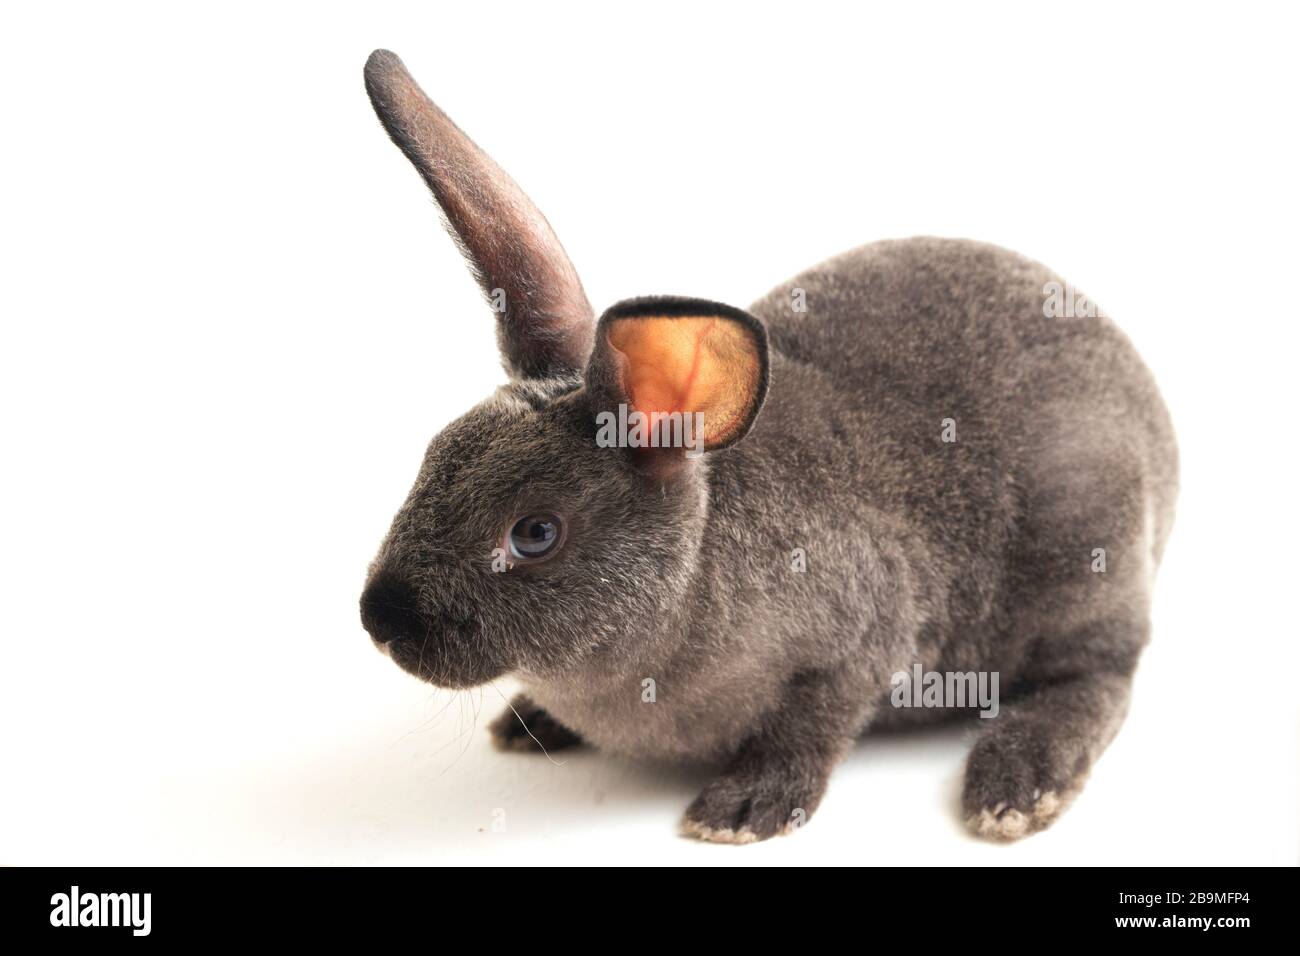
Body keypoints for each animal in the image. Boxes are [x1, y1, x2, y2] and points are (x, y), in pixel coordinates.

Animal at [358, 49, 1179, 844]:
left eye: (535, 533)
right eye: (432, 456)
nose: (380, 621)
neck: (691, 575)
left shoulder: (861, 644)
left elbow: (810, 727)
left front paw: (745, 809)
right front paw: (531, 721)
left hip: (1087, 554)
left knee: (1099, 678)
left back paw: (1015, 786)